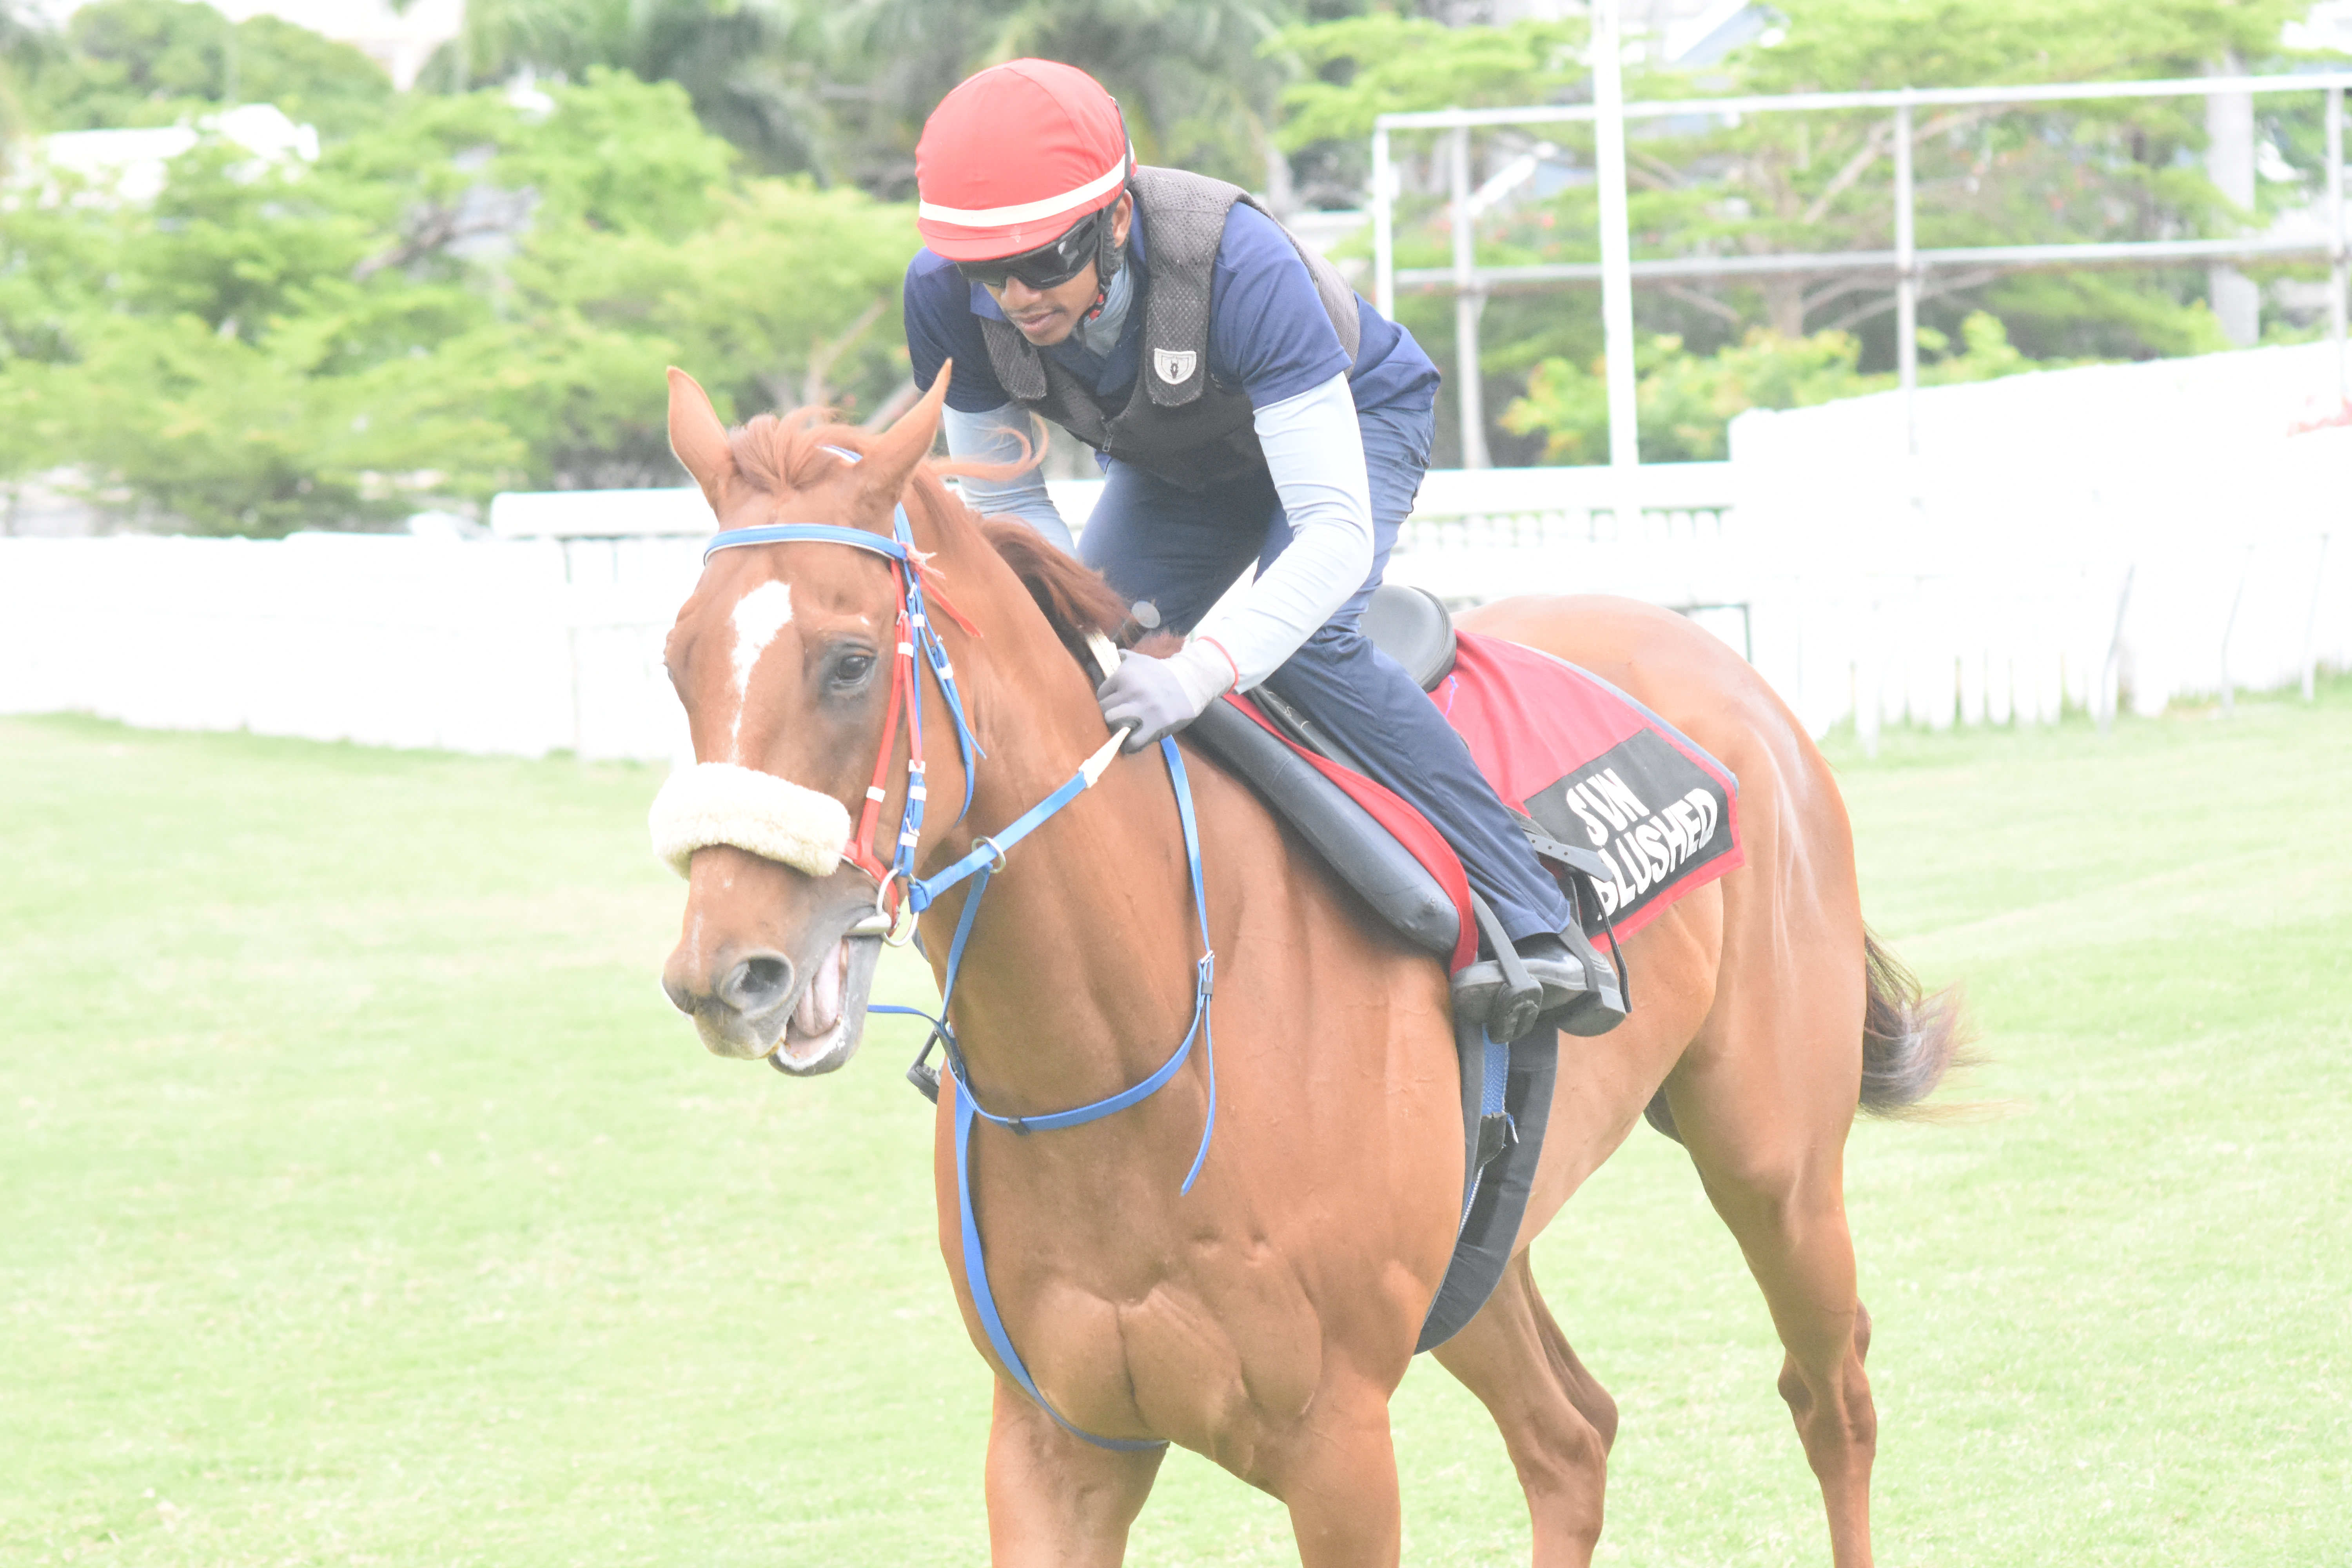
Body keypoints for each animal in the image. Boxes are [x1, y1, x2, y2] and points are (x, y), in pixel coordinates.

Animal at [652, 365, 1965, 1568]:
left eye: (848, 661)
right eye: (676, 661)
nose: (725, 971)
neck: (1128, 1062)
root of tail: (1726, 670)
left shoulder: (1337, 1445)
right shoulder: (1053, 1438)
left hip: (1772, 1161)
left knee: (1830, 1395)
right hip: (1481, 1248)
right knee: (1569, 1435)